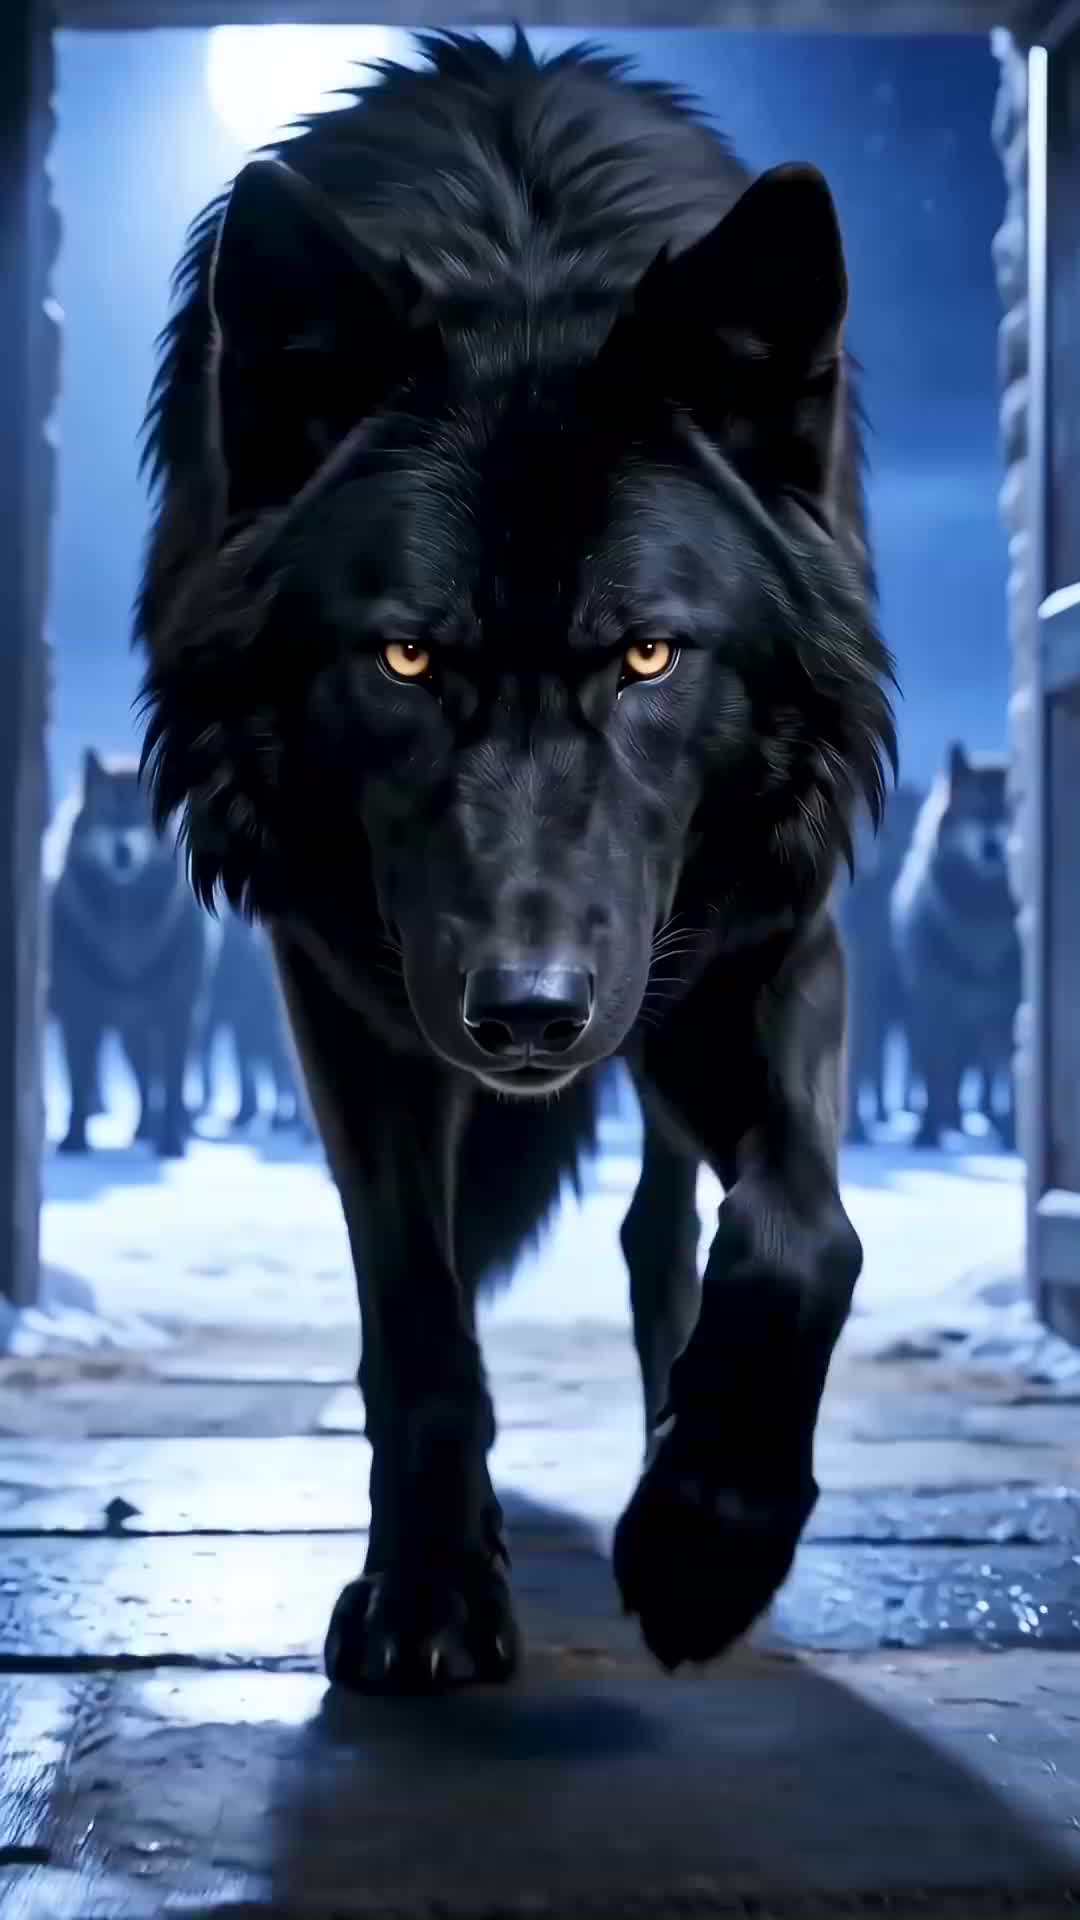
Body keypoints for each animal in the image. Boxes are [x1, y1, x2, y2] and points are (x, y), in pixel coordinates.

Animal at [49, 750, 212, 1157]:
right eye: (107, 812)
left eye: (141, 815)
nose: (122, 851)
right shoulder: (77, 1012)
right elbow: (78, 1080)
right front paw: (74, 1139)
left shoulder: (175, 1012)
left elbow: (172, 1083)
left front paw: (171, 1142)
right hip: (129, 1032)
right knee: (138, 1078)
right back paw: (141, 1129)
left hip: (144, 1028)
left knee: (151, 1080)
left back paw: (154, 1129)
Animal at [136, 32, 895, 1691]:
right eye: (408, 657)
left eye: (650, 654)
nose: (531, 1016)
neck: (525, 252)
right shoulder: (346, 987)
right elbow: (416, 1310)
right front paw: (428, 1593)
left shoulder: (758, 938)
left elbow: (806, 1229)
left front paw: (708, 1540)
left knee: (662, 1224)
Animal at [891, 744, 1020, 1150]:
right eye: (975, 809)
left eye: (1011, 808)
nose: (992, 845)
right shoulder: (935, 1009)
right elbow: (936, 1075)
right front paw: (928, 1132)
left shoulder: (1006, 1013)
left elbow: (1009, 1078)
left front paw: (1012, 1133)